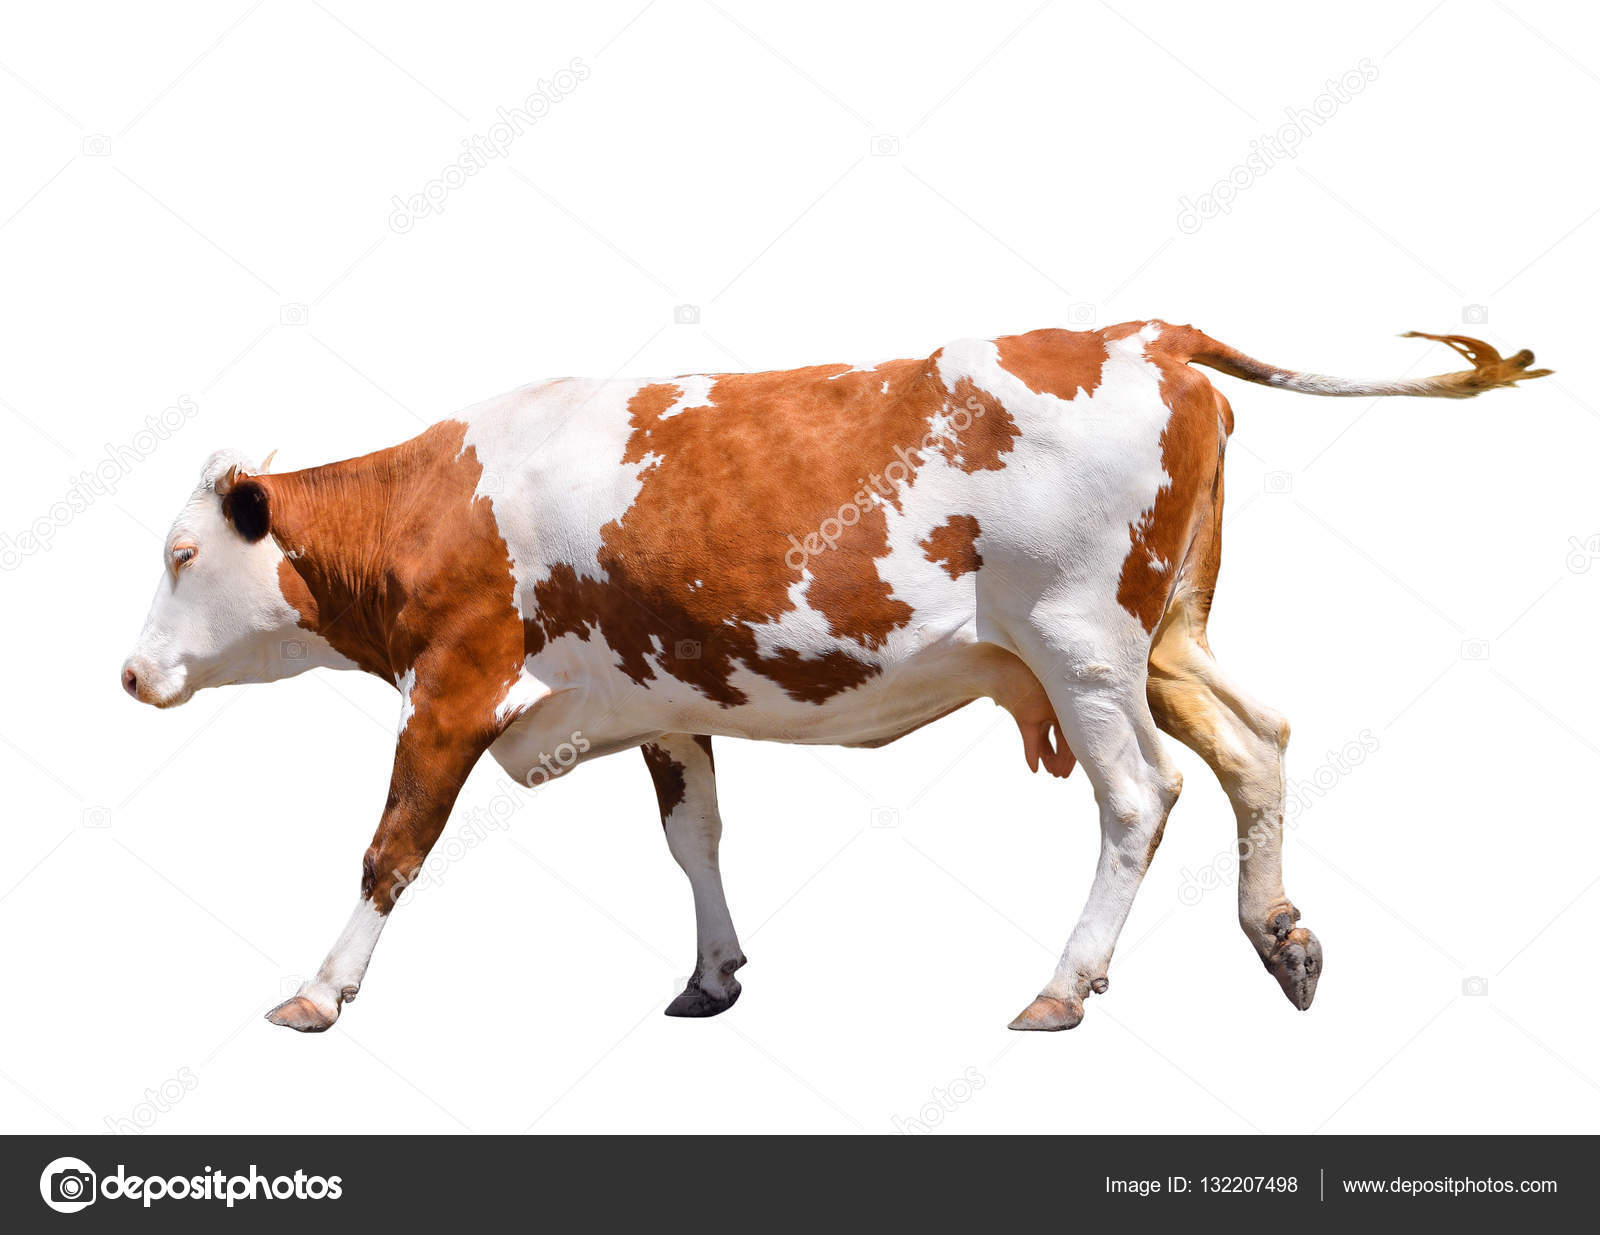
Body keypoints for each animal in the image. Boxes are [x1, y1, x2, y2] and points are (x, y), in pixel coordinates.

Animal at [121, 322, 1548, 1033]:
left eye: (181, 553)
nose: (131, 672)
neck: (435, 500)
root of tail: (1140, 330)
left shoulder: (456, 685)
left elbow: (392, 846)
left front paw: (319, 989)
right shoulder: (658, 696)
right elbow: (692, 833)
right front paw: (712, 974)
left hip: (1080, 643)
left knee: (1140, 798)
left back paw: (1063, 984)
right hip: (1164, 637)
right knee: (1258, 741)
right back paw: (1279, 934)